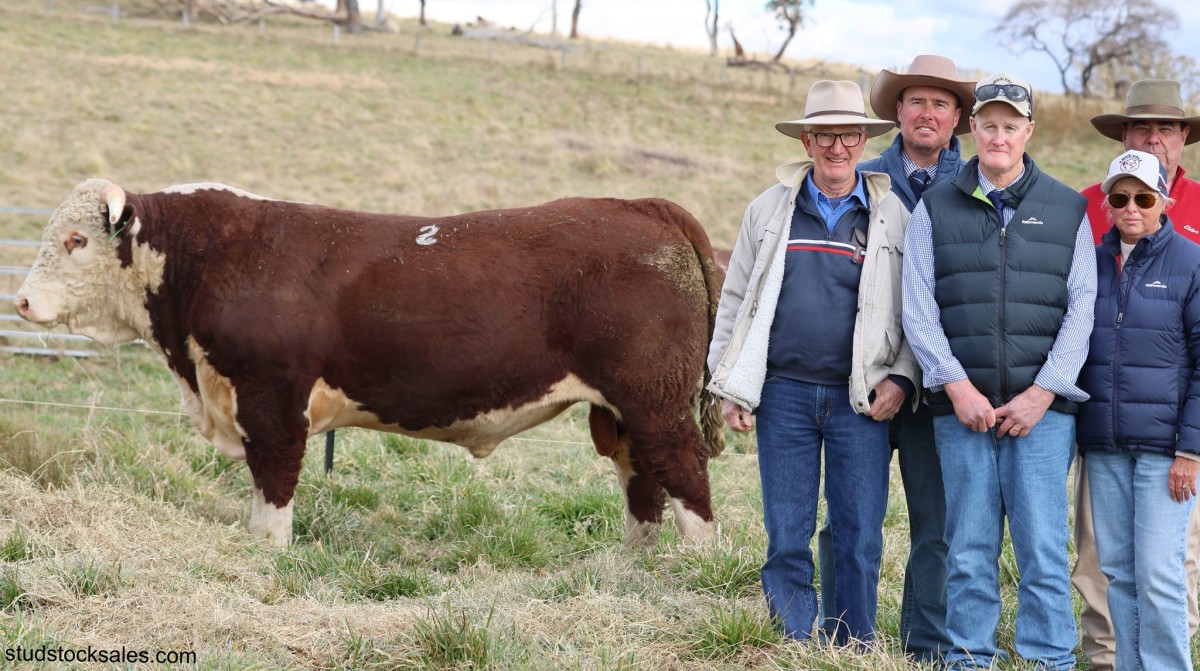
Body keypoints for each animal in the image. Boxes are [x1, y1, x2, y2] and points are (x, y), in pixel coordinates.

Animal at [15, 179, 725, 548]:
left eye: (76, 240)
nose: (20, 300)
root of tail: (644, 206)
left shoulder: (271, 400)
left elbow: (273, 482)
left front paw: (268, 556)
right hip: (624, 412)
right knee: (641, 484)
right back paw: (630, 567)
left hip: (655, 401)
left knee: (684, 475)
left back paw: (691, 567)